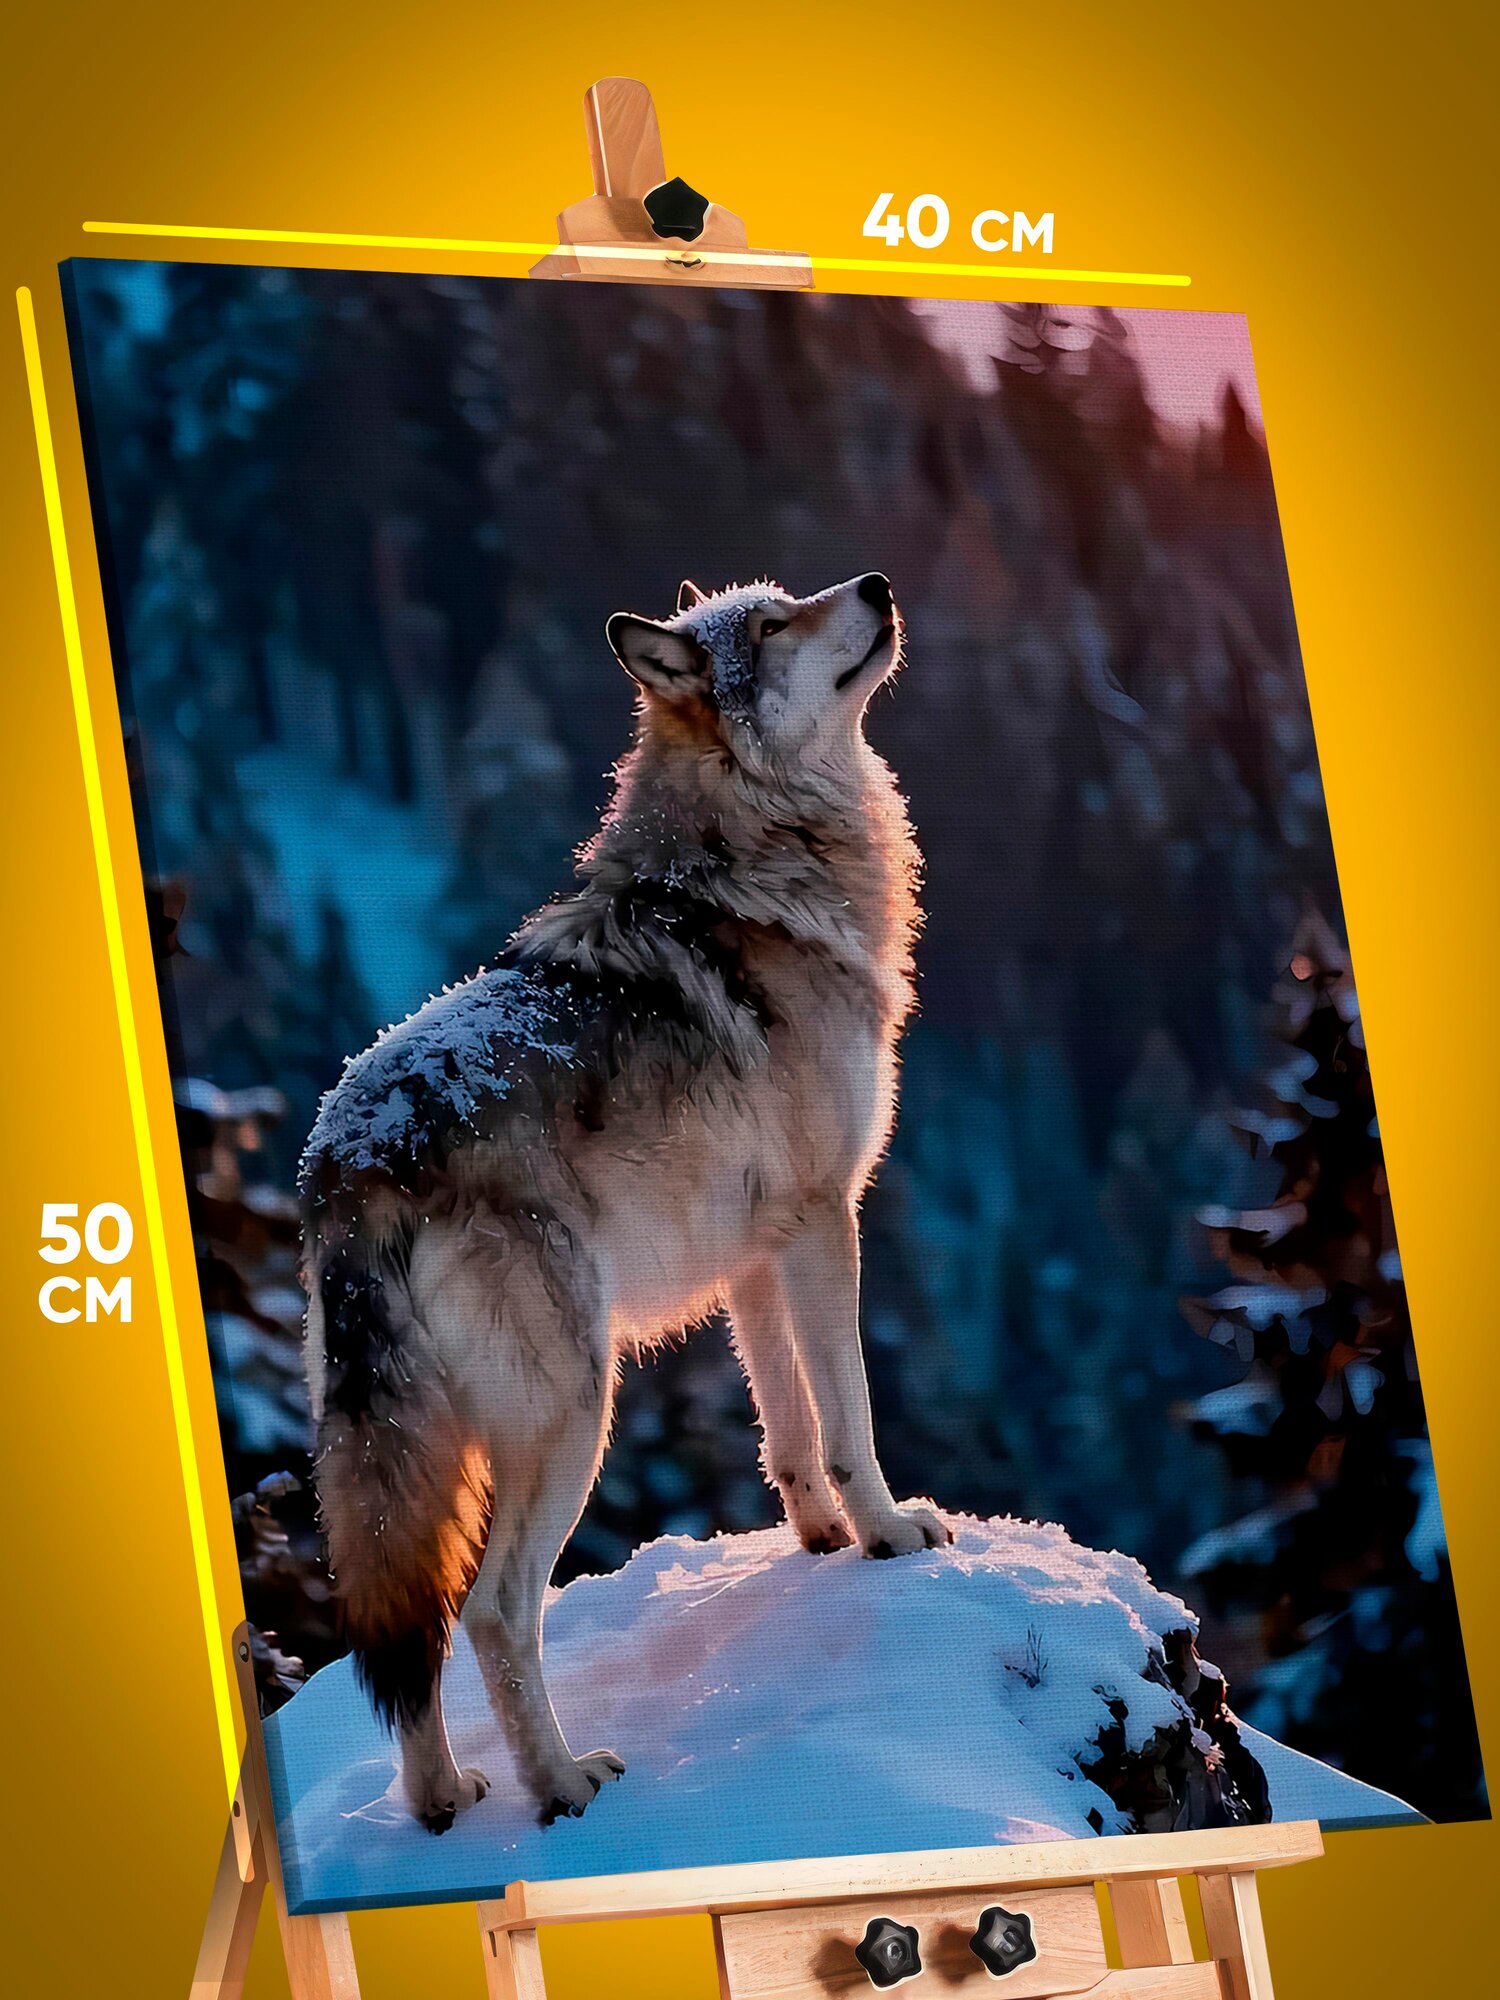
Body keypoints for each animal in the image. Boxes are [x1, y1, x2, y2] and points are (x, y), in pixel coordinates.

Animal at [299, 569, 948, 1835]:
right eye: (778, 625)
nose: (877, 583)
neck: (756, 865)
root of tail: (354, 1156)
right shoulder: (823, 1219)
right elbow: (849, 1418)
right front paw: (891, 1534)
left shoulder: (755, 1255)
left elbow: (788, 1430)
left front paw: (819, 1543)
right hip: (569, 1411)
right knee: (495, 1607)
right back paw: (561, 1786)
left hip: (421, 1453)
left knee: (412, 1618)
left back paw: (443, 1803)